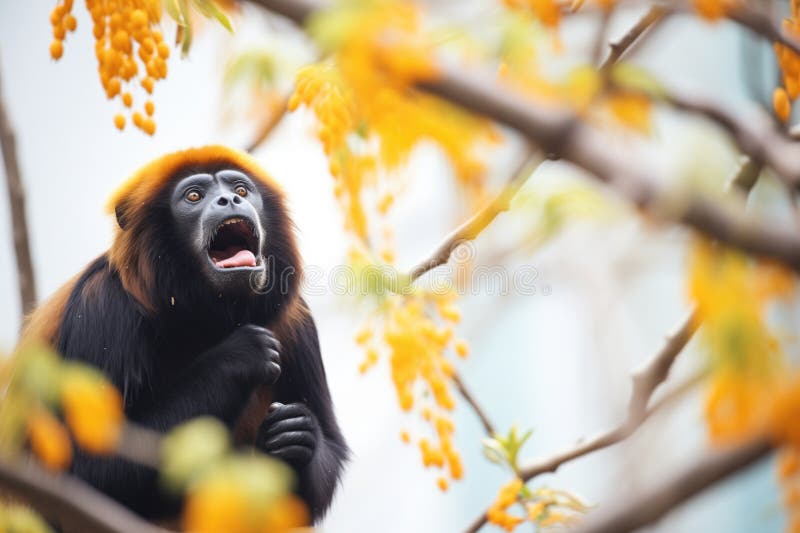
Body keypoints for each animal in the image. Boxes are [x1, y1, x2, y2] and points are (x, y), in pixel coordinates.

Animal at [18, 145, 348, 522]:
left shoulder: (297, 318)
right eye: (194, 196)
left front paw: (298, 436)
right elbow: (82, 469)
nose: (229, 199)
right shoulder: (99, 307)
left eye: (241, 189)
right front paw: (239, 357)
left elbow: (325, 457)